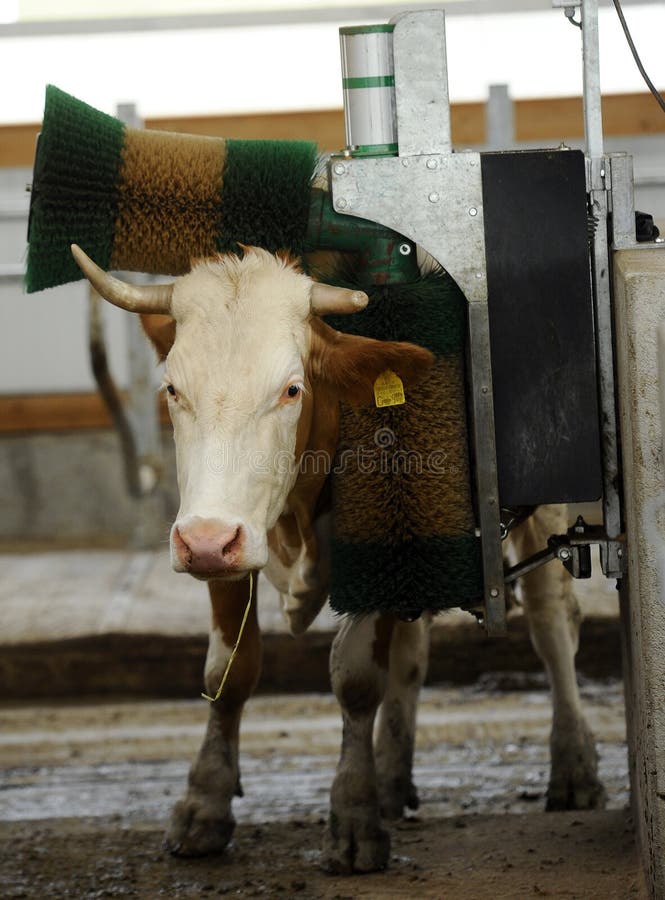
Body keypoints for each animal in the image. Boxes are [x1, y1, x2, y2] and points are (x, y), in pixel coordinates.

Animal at [71, 243, 606, 875]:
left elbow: (355, 678)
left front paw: (353, 817)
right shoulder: (224, 531)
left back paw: (573, 767)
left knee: (551, 622)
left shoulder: (378, 534)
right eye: (173, 389)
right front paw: (204, 802)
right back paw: (393, 778)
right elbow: (228, 671)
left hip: (541, 500)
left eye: (291, 389)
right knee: (413, 650)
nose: (203, 541)